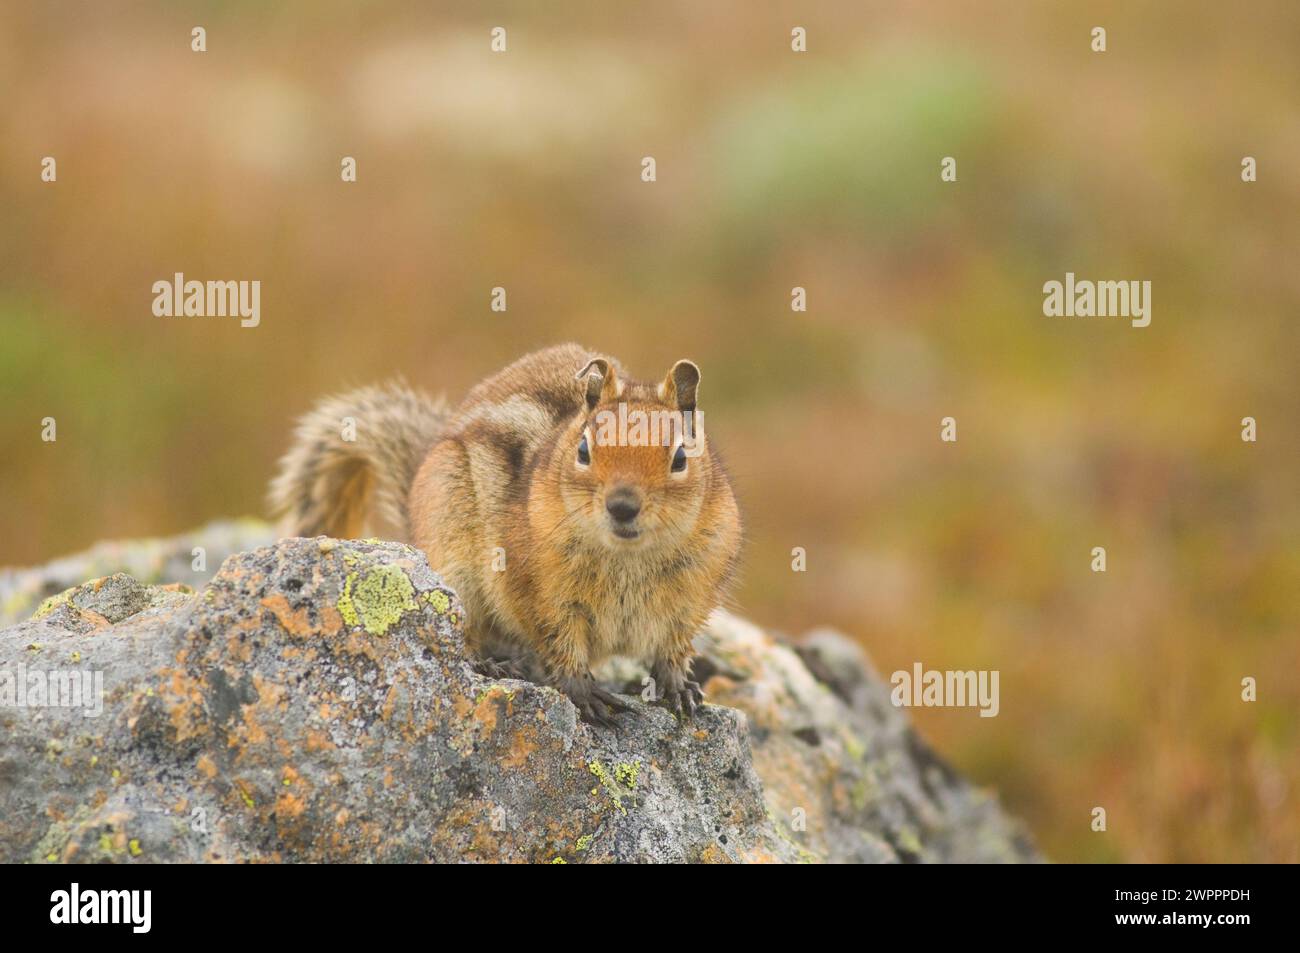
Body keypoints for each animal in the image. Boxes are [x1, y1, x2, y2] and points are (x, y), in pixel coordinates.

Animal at [267, 344, 742, 725]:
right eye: (583, 451)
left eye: (680, 457)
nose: (622, 506)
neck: (629, 556)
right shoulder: (540, 593)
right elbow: (559, 643)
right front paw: (583, 692)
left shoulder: (691, 600)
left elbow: (674, 647)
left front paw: (679, 687)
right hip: (454, 569)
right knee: (460, 635)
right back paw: (493, 666)